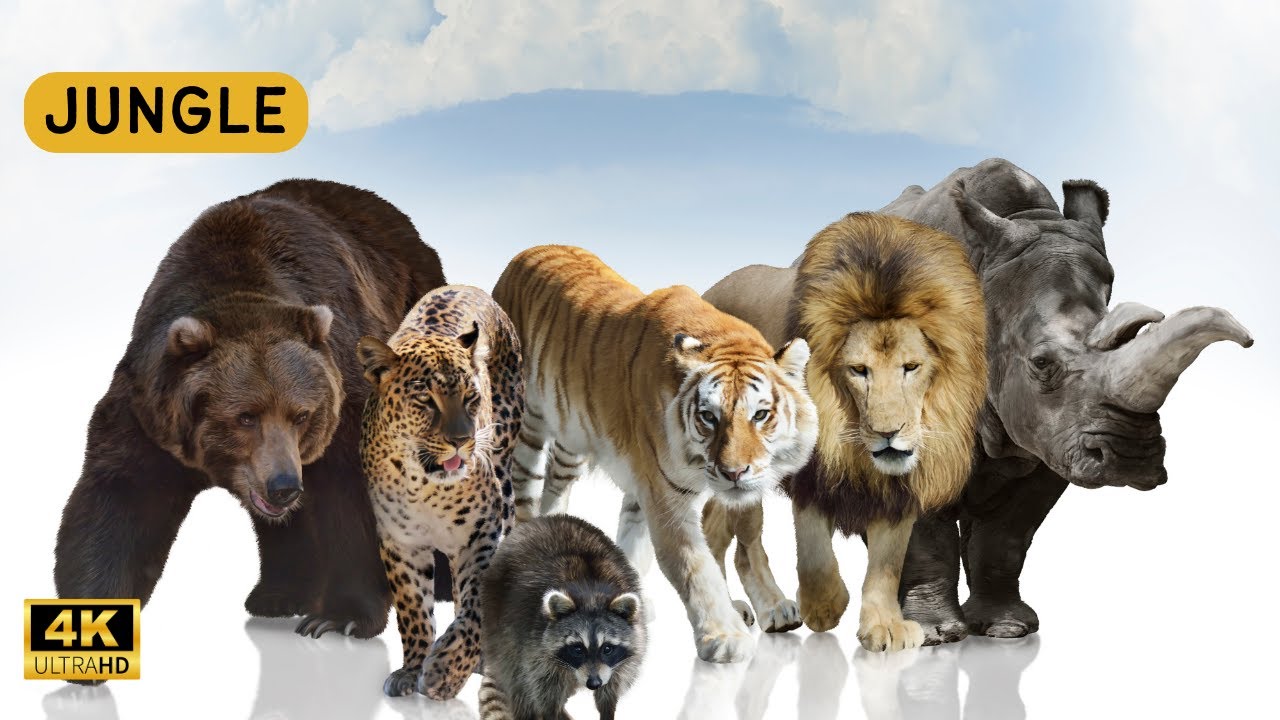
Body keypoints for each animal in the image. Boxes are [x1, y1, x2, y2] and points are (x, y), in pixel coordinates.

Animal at [53, 179, 446, 658]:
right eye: (244, 417)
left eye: (302, 415)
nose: (284, 485)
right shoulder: (150, 415)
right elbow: (120, 501)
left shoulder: (346, 401)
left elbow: (355, 498)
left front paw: (341, 617)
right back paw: (276, 594)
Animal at [480, 514, 647, 720]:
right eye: (577, 648)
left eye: (607, 648)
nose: (593, 683)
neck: (591, 593)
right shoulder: (534, 646)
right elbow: (543, 692)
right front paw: (550, 712)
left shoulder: (624, 657)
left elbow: (611, 688)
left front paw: (607, 710)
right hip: (499, 620)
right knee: (517, 681)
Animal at [491, 245, 818, 663]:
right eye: (709, 417)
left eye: (760, 415)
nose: (733, 472)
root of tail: (525, 252)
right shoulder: (666, 499)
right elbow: (696, 567)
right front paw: (726, 637)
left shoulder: (654, 488)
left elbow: (654, 542)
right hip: (525, 427)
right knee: (523, 494)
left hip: (571, 442)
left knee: (556, 490)